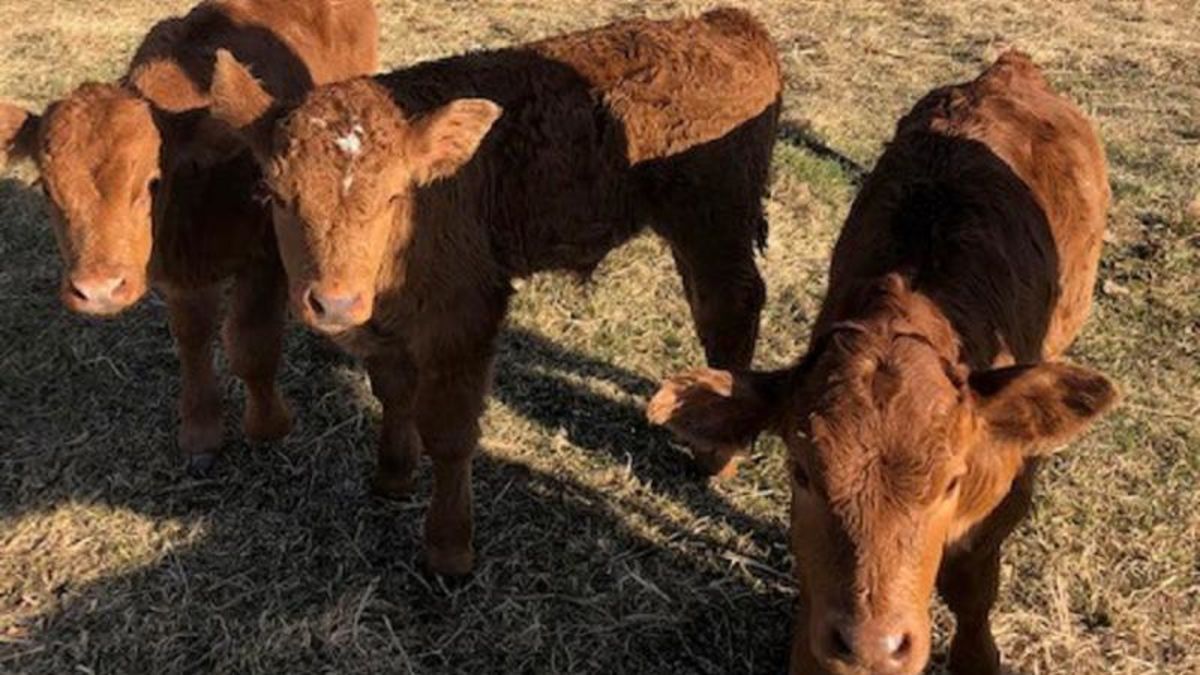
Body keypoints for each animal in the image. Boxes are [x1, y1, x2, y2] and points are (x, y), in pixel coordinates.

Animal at [0, 0, 379, 473]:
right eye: (47, 189)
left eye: (151, 182)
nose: (98, 290)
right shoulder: (178, 271)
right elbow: (192, 338)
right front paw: (201, 432)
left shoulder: (266, 255)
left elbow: (251, 343)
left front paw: (269, 426)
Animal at [206, 8, 783, 576]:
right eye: (277, 194)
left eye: (394, 195)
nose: (334, 302)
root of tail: (723, 24)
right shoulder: (387, 330)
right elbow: (393, 392)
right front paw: (393, 475)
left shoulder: (466, 317)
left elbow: (450, 434)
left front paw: (449, 548)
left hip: (715, 221)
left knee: (731, 307)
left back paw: (718, 454)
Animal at [648, 52, 1117, 675]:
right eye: (801, 472)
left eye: (951, 481)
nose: (873, 646)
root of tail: (1008, 68)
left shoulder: (1005, 486)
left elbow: (972, 585)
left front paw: (977, 657)